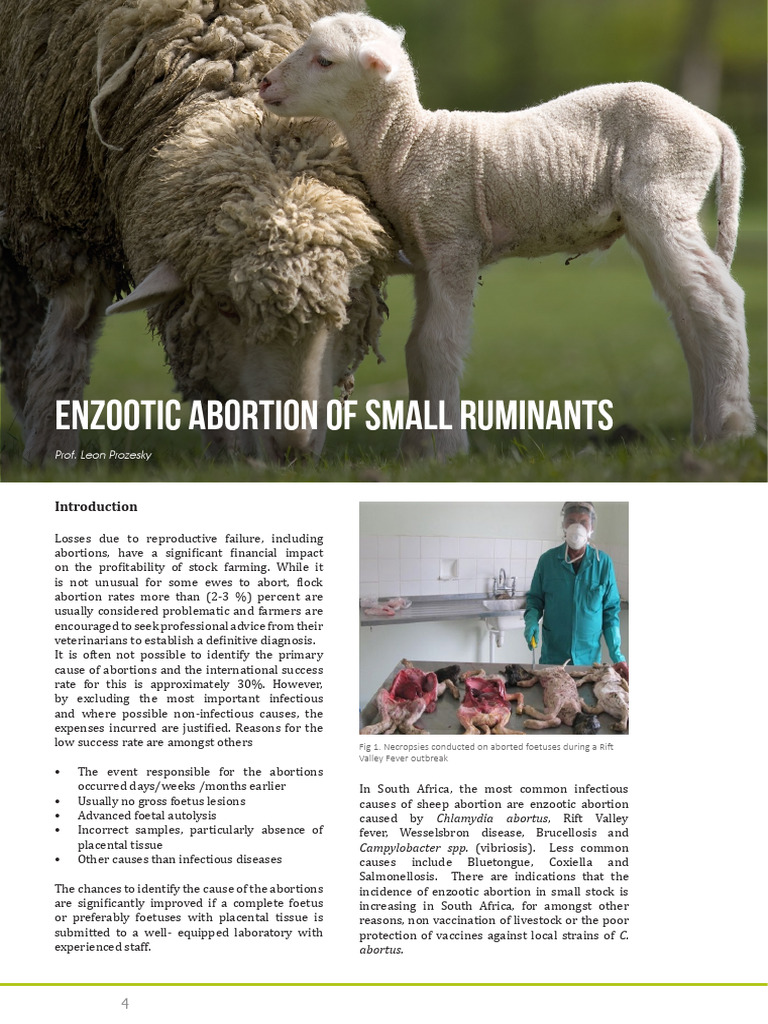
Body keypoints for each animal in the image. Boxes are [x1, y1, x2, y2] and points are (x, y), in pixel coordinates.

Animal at [0, 0, 396, 464]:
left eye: (346, 309)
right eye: (226, 308)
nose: (292, 453)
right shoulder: (62, 226)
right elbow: (68, 344)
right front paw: (50, 454)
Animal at [260, 12, 756, 458]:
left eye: (324, 60)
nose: (264, 83)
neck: (408, 146)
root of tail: (710, 122)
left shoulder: (454, 240)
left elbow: (438, 345)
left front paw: (447, 453)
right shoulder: (427, 254)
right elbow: (415, 350)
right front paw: (415, 451)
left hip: (664, 194)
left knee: (718, 298)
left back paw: (732, 428)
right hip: (650, 216)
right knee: (688, 309)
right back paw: (704, 431)